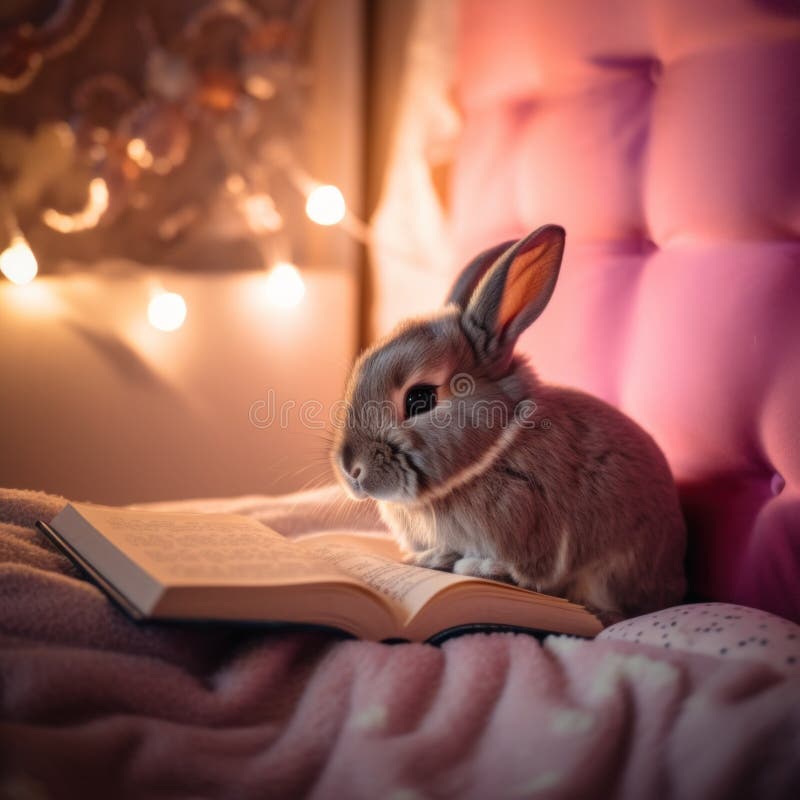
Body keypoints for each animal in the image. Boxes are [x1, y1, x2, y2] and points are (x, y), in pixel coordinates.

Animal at [332, 224, 687, 625]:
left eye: (420, 399)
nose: (351, 470)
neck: (496, 445)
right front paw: (425, 557)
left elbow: (518, 570)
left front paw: (466, 566)